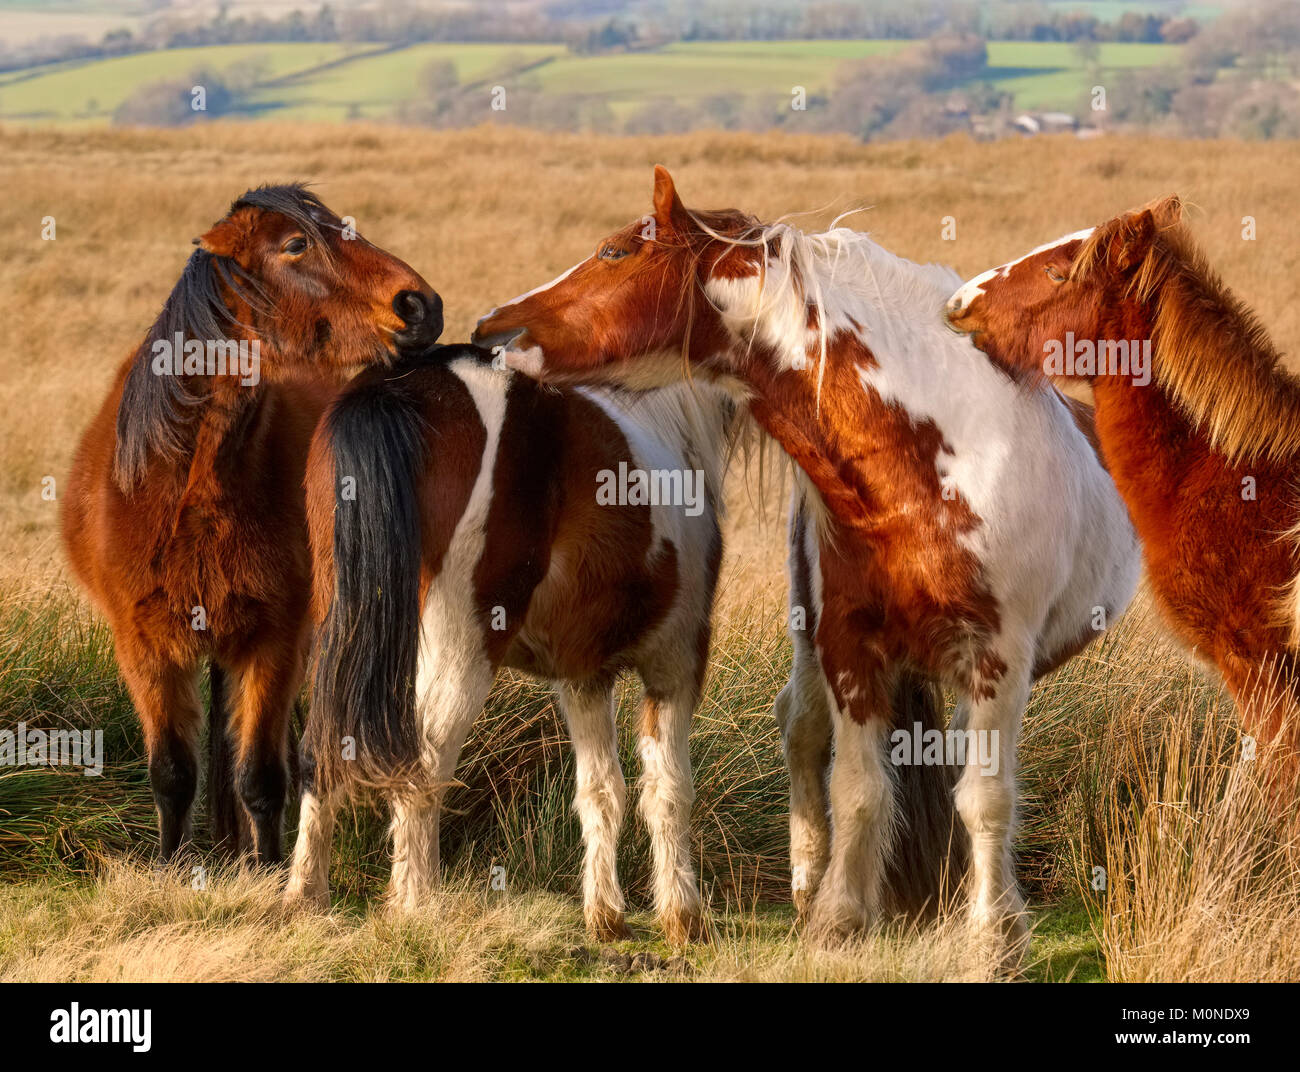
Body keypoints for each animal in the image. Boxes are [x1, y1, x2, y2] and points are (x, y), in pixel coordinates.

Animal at [62, 184, 441, 865]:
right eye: (295, 245)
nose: (420, 305)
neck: (185, 484)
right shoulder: (143, 647)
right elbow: (172, 772)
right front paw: (172, 864)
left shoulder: (274, 640)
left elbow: (260, 774)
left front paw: (265, 870)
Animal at [283, 344, 739, 943]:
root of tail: (392, 389)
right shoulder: (676, 664)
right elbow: (668, 788)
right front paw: (683, 916)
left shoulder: (584, 677)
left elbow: (601, 790)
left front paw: (605, 916)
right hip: (461, 645)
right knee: (424, 764)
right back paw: (417, 908)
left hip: (343, 631)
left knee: (323, 751)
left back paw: (305, 897)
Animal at [471, 166, 1141, 953]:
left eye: (614, 252)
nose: (490, 328)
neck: (937, 457)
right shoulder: (848, 646)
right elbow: (857, 788)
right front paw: (840, 915)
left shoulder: (997, 659)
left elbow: (986, 799)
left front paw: (994, 934)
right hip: (810, 639)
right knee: (804, 728)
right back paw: (807, 880)